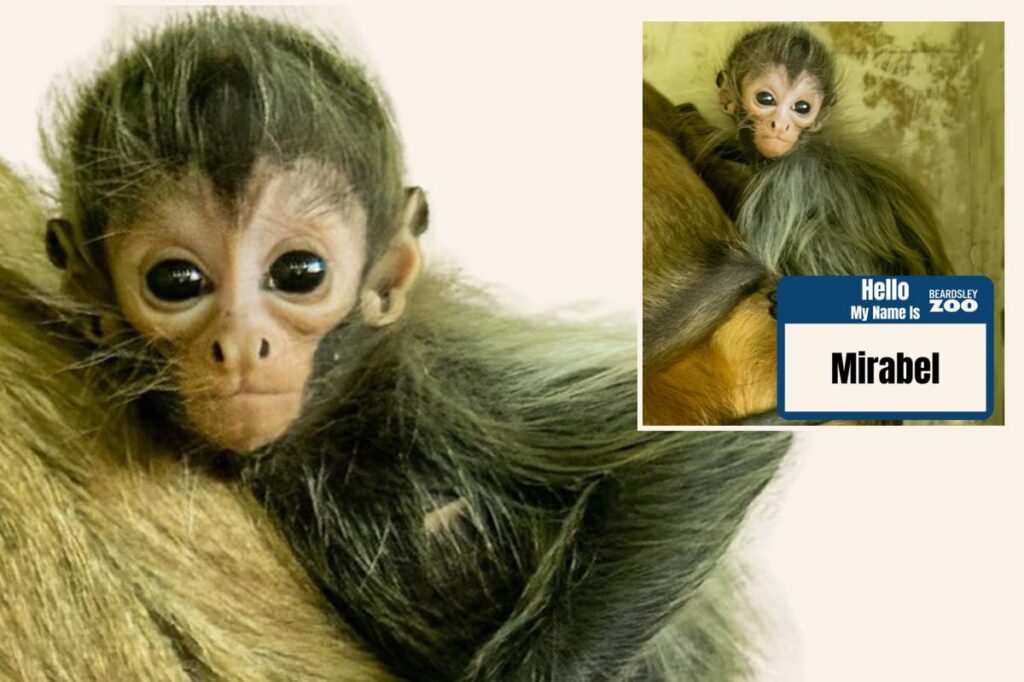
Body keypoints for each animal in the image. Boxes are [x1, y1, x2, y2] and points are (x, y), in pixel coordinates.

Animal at [663, 23, 954, 277]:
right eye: (765, 99)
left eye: (802, 108)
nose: (780, 125)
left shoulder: (789, 177)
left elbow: (753, 266)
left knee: (813, 238)